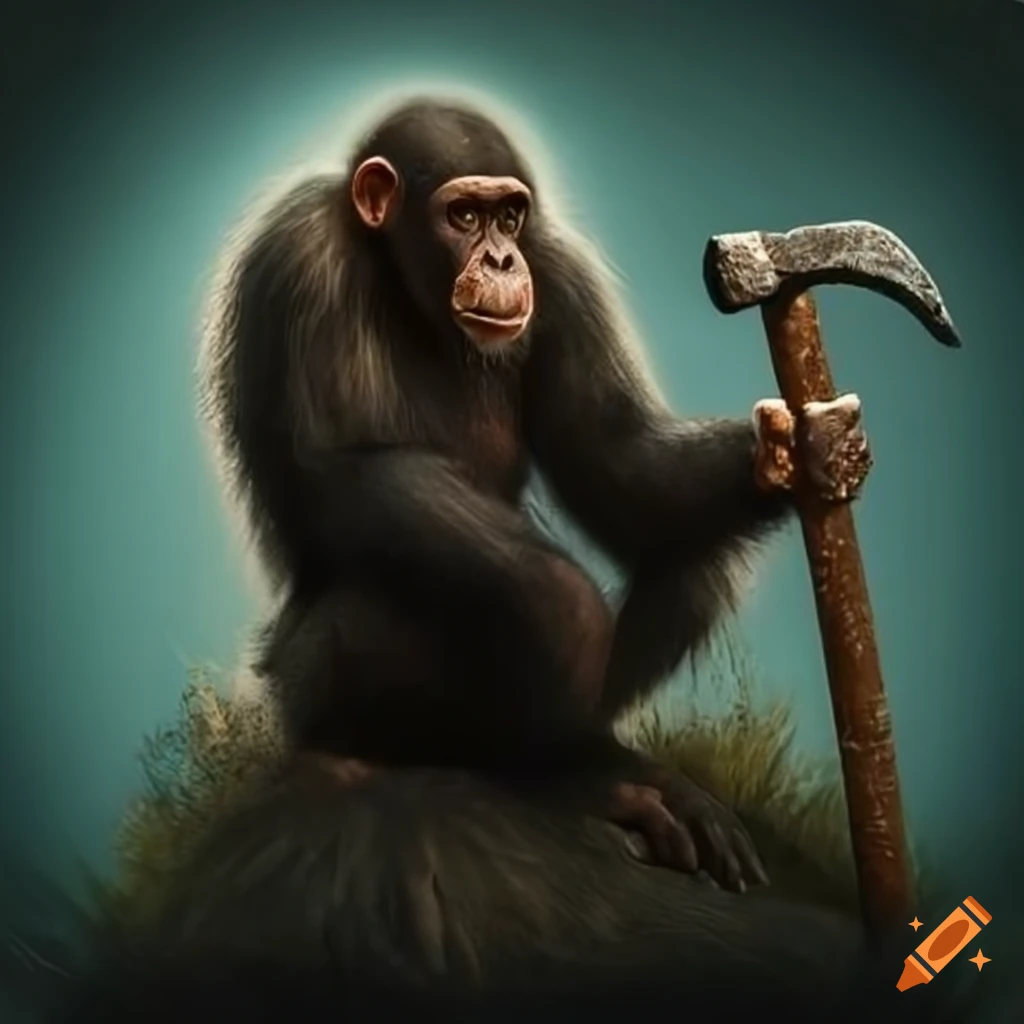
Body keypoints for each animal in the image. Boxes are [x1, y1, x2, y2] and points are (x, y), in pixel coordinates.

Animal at [198, 95, 872, 891]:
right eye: (463, 215)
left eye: (510, 216)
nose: (500, 258)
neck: (407, 285)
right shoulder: (302, 257)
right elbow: (343, 466)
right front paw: (570, 613)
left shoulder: (562, 277)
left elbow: (613, 459)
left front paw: (807, 446)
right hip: (326, 694)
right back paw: (570, 775)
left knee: (692, 559)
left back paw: (608, 756)